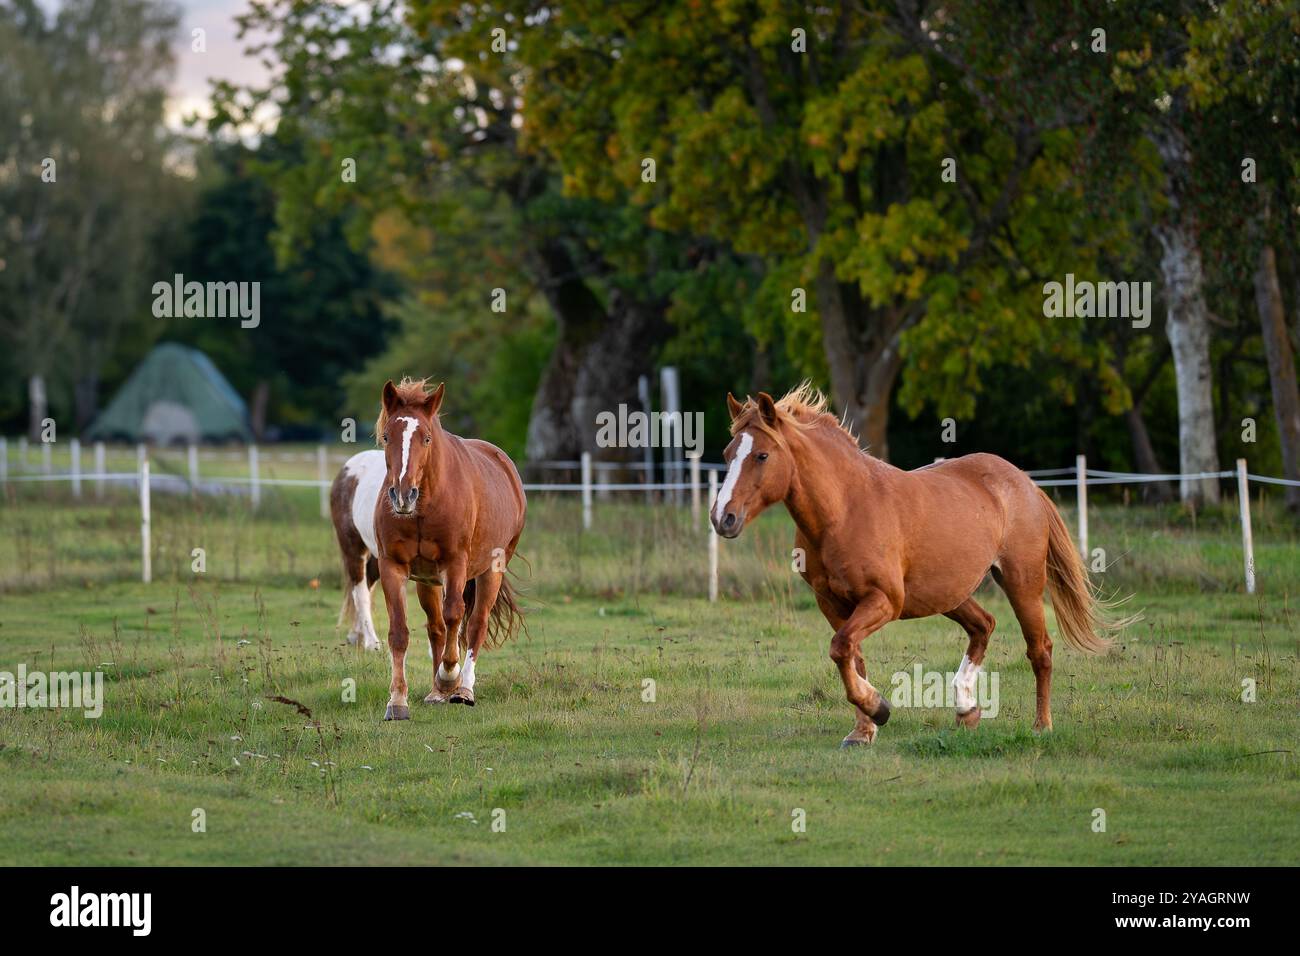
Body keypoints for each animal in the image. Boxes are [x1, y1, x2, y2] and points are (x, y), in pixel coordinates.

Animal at [329, 378, 526, 719]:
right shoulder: (394, 566)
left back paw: (462, 689)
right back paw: (435, 690)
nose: (402, 495)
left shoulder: (455, 564)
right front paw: (397, 701)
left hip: (490, 570)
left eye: (427, 438)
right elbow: (400, 632)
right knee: (422, 620)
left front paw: (450, 676)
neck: (426, 506)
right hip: (378, 560)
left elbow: (455, 616)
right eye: (387, 436)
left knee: (475, 623)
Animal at [710, 384, 1131, 747]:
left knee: (1039, 650)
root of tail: (1025, 484)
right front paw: (863, 729)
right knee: (984, 626)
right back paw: (966, 709)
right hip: (948, 594)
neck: (844, 510)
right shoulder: (832, 604)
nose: (722, 518)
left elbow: (841, 648)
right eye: (729, 454)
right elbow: (851, 657)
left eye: (762, 455)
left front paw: (878, 710)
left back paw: (1041, 726)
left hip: (1022, 582)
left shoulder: (884, 601)